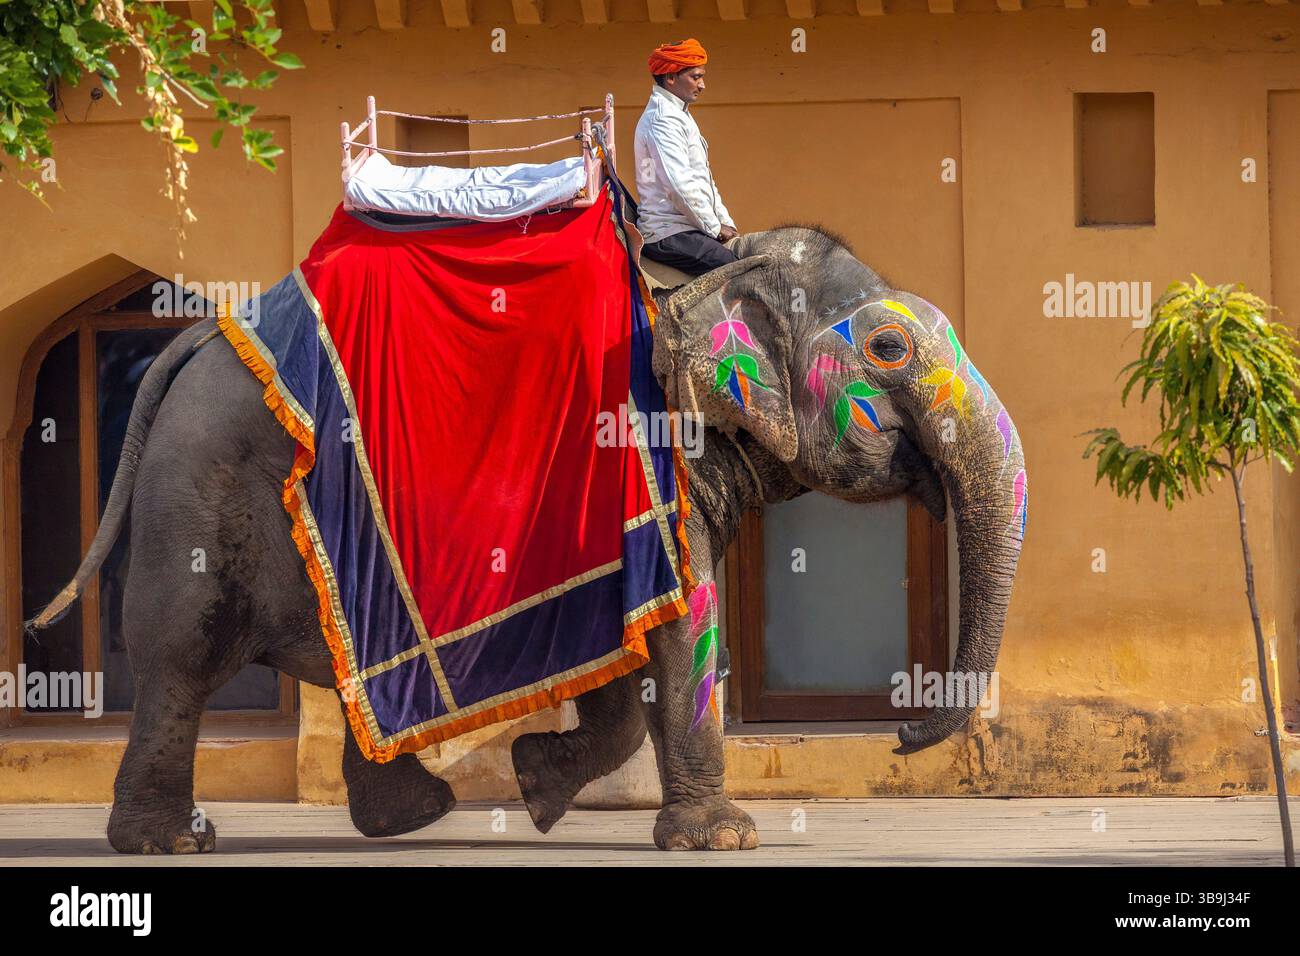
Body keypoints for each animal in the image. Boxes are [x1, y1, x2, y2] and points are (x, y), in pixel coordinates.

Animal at [26, 222, 1024, 853]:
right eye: (889, 349)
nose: (901, 734)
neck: (715, 270)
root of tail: (192, 336)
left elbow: (634, 647)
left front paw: (539, 783)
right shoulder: (649, 453)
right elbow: (682, 618)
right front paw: (722, 840)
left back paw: (409, 816)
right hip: (198, 488)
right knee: (180, 655)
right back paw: (169, 843)